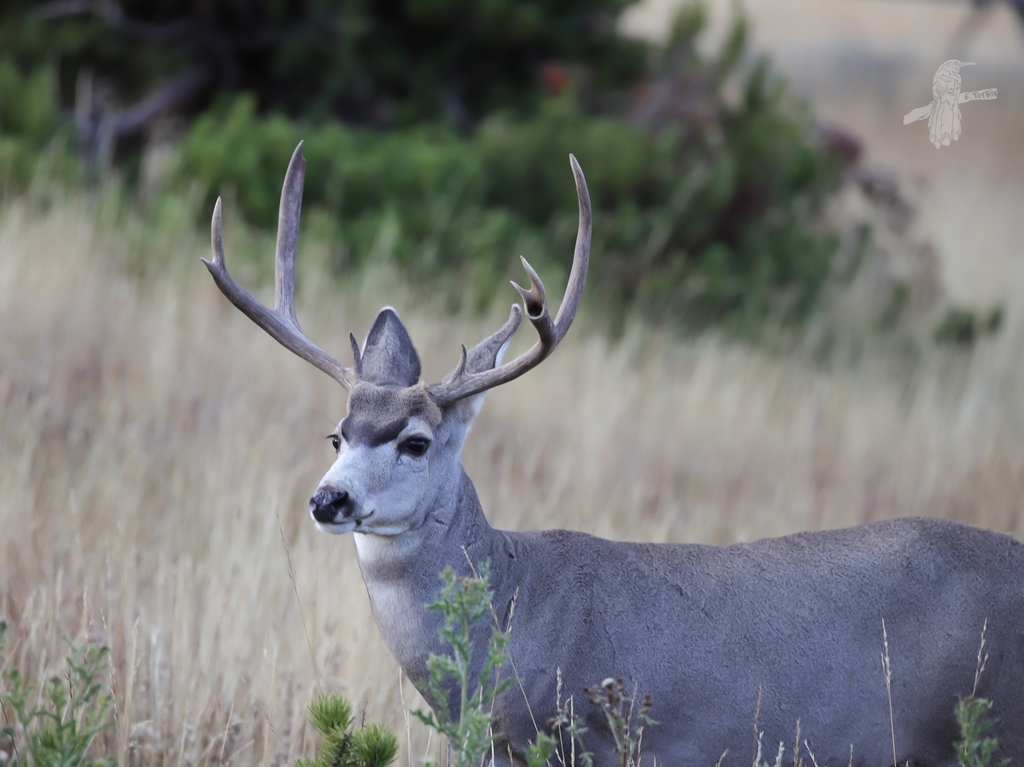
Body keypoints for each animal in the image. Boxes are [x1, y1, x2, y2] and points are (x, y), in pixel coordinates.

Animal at [202, 143, 1024, 767]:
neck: (514, 607)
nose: (328, 499)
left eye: (415, 440)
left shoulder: (586, 737)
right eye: (337, 434)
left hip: (984, 722)